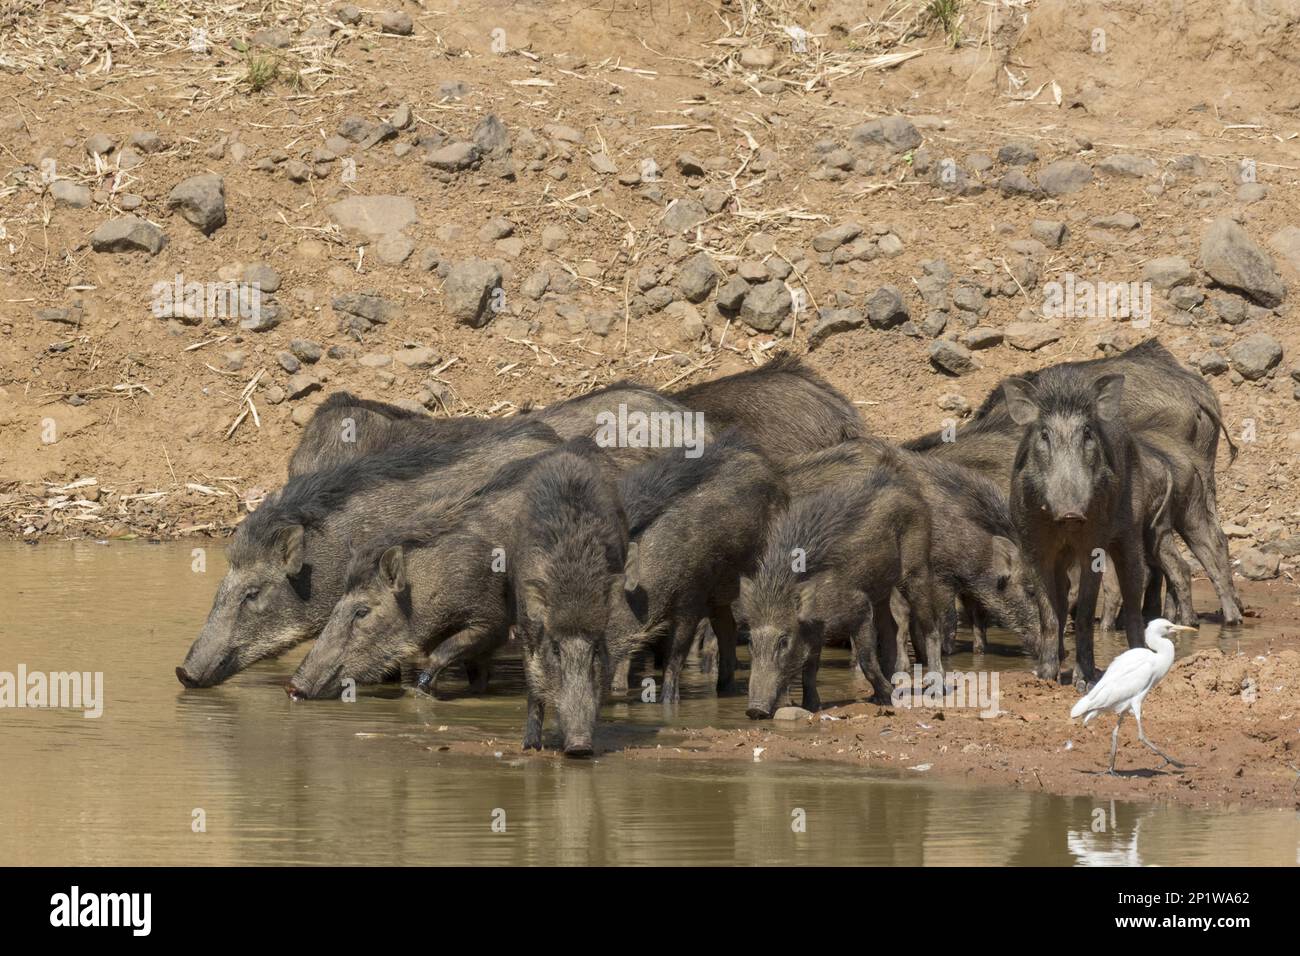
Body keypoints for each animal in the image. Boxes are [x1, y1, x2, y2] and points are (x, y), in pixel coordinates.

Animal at [513, 444, 629, 756]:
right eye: (555, 648)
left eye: (596, 648)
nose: (579, 746)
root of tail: (567, 455)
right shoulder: (528, 632)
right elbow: (533, 688)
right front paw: (531, 746)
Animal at [609, 429, 789, 702]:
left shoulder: (690, 602)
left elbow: (675, 656)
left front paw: (668, 702)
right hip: (718, 597)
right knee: (727, 629)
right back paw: (724, 689)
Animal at [736, 452, 943, 717]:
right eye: (750, 642)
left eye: (783, 641)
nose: (755, 711)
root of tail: (909, 489)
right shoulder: (816, 628)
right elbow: (809, 668)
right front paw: (810, 706)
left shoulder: (860, 607)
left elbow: (865, 658)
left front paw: (886, 698)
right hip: (881, 589)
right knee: (892, 628)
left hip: (917, 570)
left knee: (930, 627)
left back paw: (935, 687)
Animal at [1003, 371, 1149, 688]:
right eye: (1044, 434)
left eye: (1087, 433)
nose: (1071, 512)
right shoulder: (1034, 547)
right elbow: (1048, 613)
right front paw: (1045, 676)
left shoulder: (1094, 545)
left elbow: (1084, 612)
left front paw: (1085, 682)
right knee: (1062, 597)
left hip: (1131, 532)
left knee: (1134, 596)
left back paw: (1139, 657)